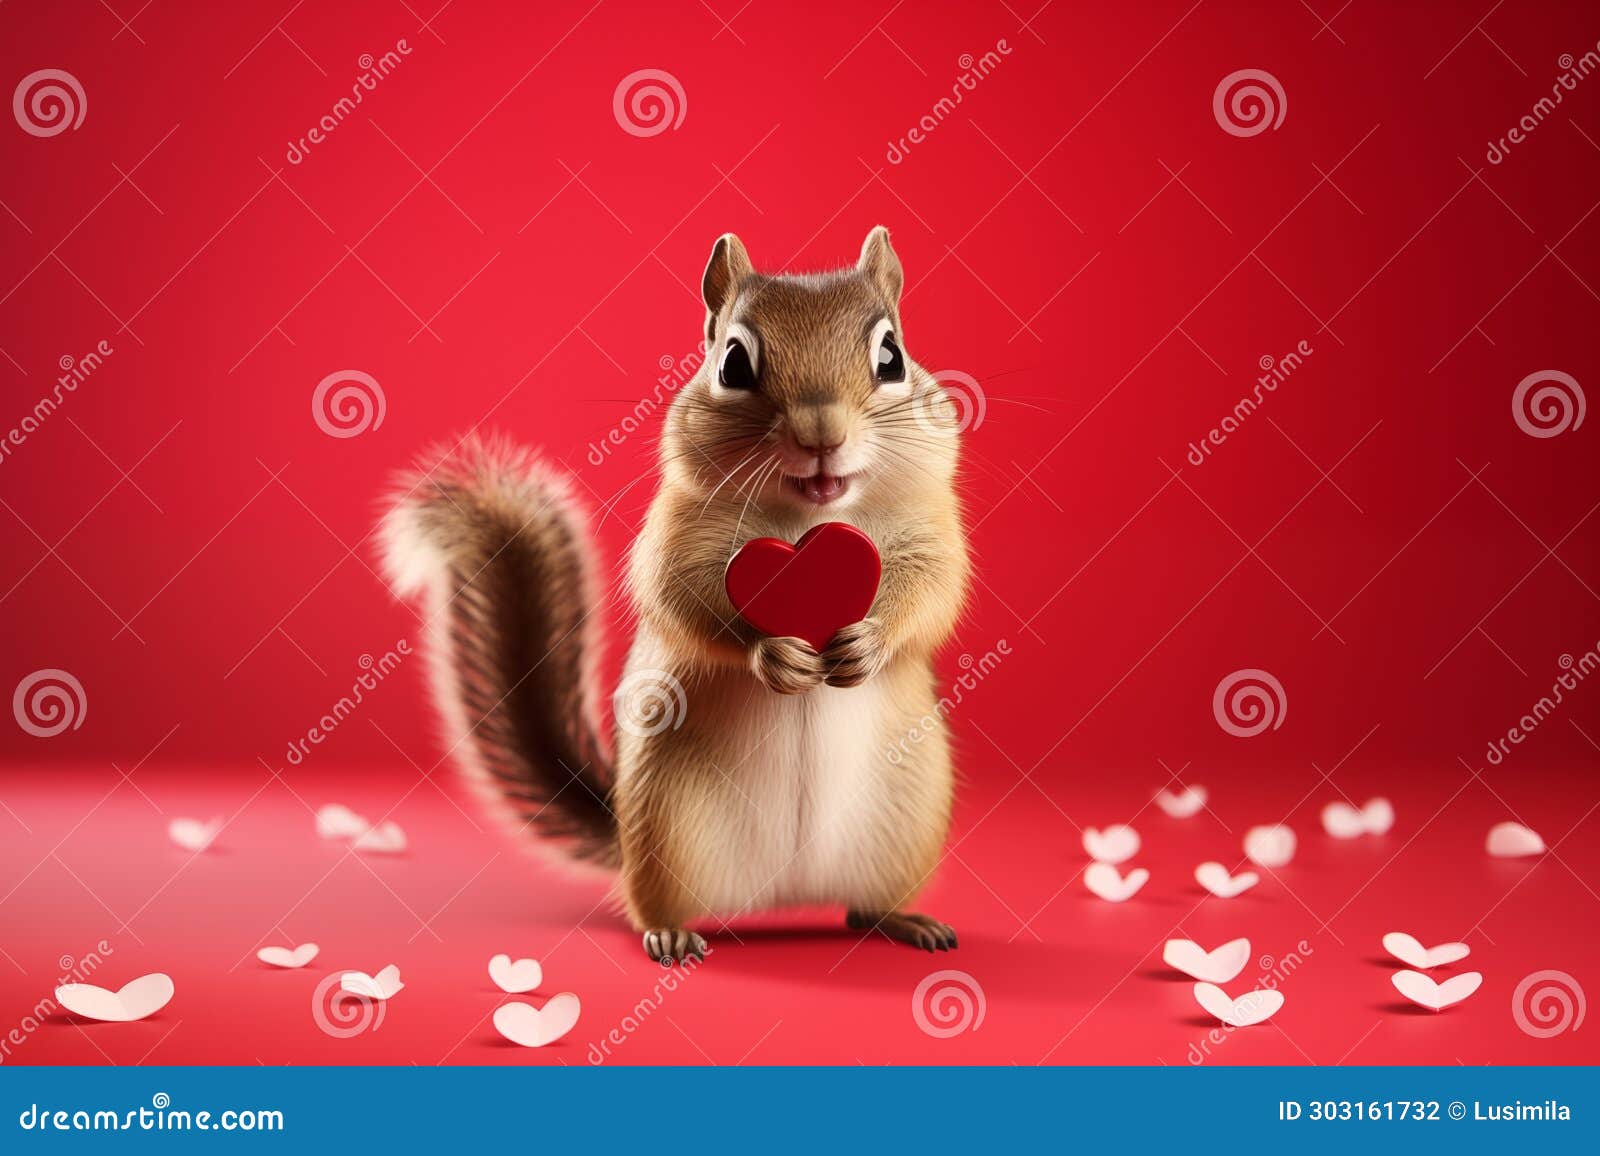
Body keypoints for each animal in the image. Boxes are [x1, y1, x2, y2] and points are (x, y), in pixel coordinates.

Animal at [380, 226, 971, 963]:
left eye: (891, 356)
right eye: (733, 363)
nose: (821, 435)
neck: (806, 517)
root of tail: (784, 892)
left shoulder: (931, 529)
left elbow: (932, 591)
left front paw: (866, 641)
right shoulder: (676, 537)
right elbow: (685, 604)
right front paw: (773, 653)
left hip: (909, 821)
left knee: (865, 907)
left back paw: (908, 921)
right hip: (668, 826)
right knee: (655, 902)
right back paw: (669, 934)